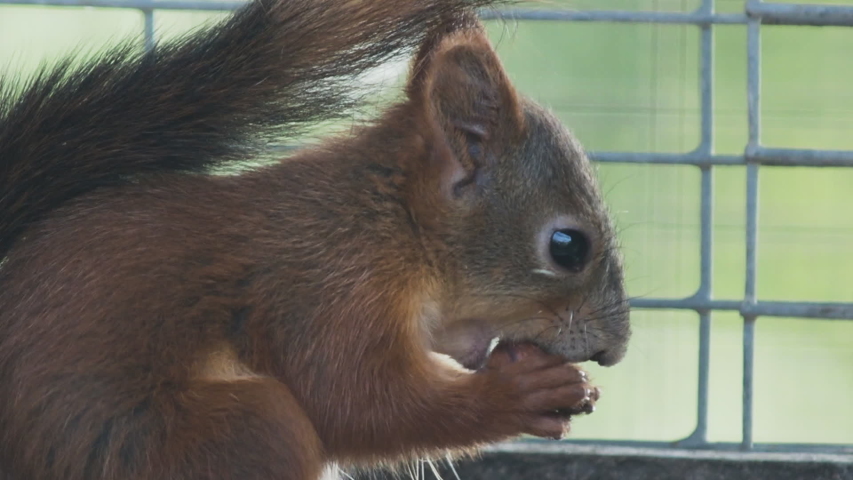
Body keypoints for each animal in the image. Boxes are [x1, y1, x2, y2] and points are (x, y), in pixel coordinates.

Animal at [0, 0, 631, 478]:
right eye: (568, 247)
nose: (614, 351)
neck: (389, 224)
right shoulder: (325, 291)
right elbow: (357, 403)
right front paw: (521, 390)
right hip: (218, 435)